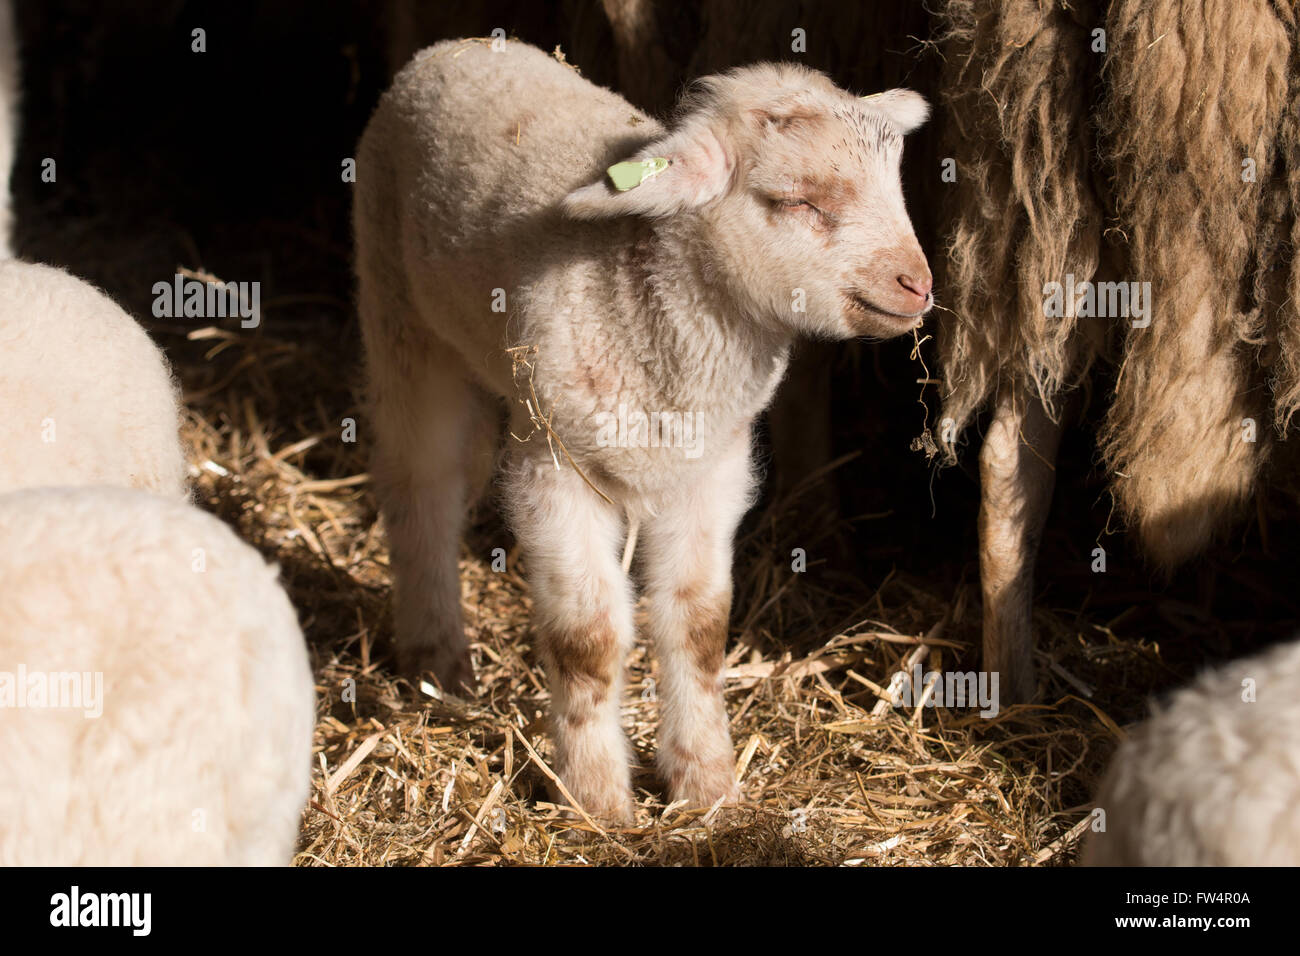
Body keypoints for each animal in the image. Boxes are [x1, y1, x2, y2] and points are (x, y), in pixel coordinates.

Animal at [355, 39, 932, 820]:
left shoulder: (709, 472)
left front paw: (708, 787)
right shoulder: (555, 472)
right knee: (423, 482)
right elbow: (588, 641)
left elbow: (701, 629)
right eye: (797, 201)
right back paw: (435, 657)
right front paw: (597, 803)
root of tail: (458, 47)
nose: (919, 285)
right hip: (401, 315)